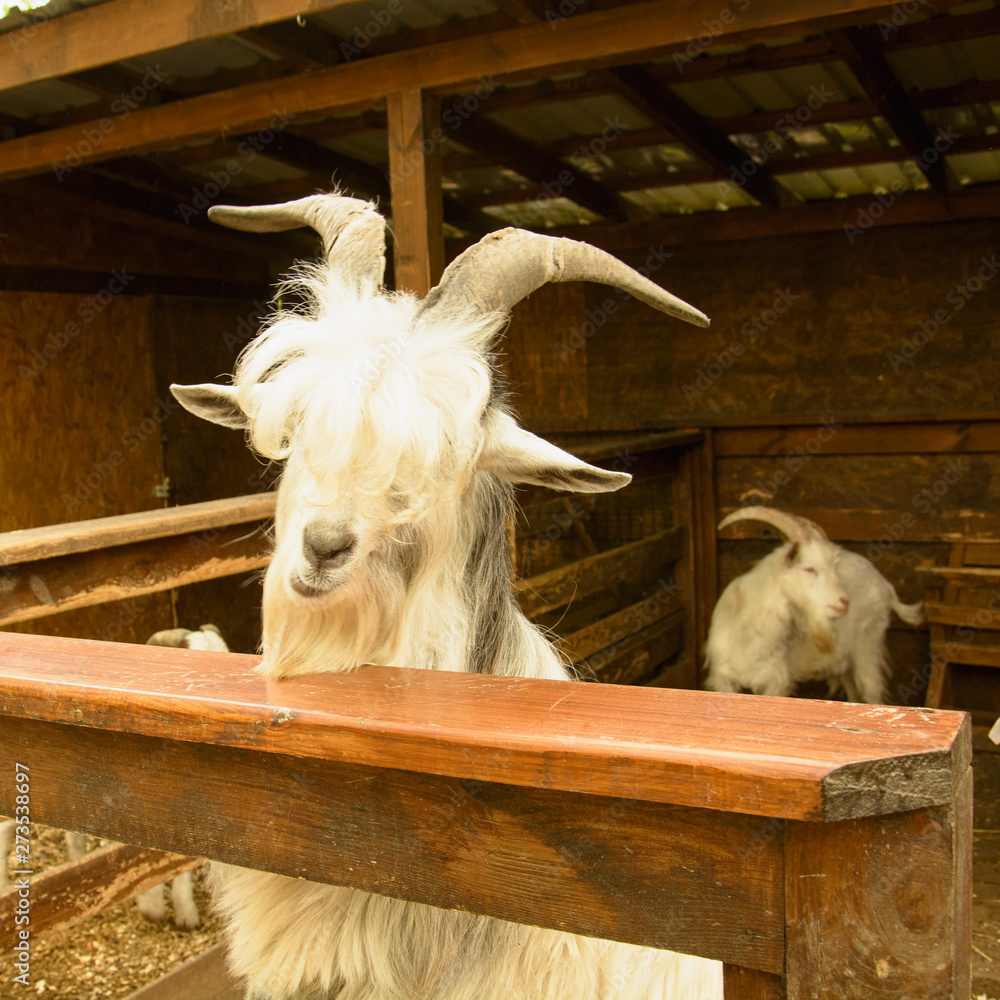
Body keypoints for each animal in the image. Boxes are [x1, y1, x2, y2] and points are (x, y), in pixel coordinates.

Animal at [704, 507, 924, 703]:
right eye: (809, 569)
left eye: (833, 569)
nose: (843, 603)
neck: (748, 634)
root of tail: (883, 583)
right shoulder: (723, 678)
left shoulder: (777, 681)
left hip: (869, 646)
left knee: (872, 694)